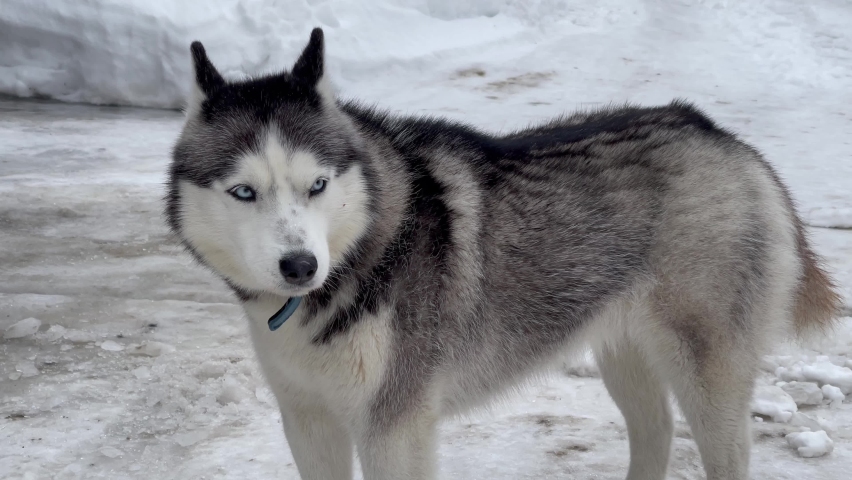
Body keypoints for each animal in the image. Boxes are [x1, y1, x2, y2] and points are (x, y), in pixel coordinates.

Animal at [164, 28, 841, 480]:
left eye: (318, 185)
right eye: (244, 192)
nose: (300, 266)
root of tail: (717, 133)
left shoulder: (394, 428)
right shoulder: (307, 420)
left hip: (706, 372)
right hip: (626, 356)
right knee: (655, 433)